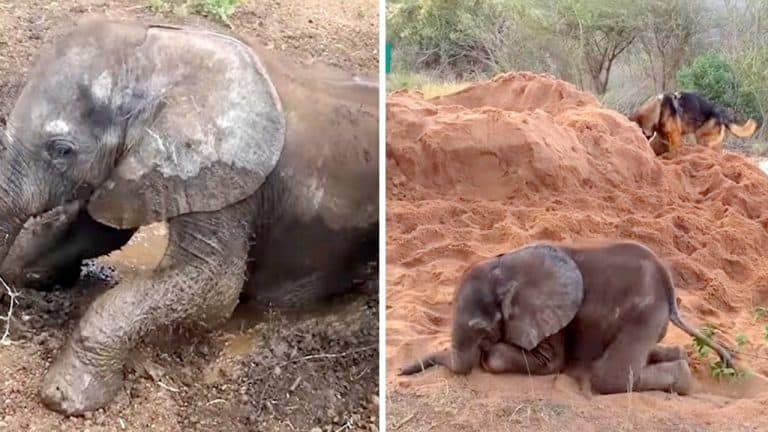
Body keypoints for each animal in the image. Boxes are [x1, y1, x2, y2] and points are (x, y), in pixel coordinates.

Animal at [0, 17, 378, 415]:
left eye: (62, 150)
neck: (160, 56)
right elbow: (98, 231)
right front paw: (31, 273)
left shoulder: (226, 178)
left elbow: (214, 288)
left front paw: (63, 397)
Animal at [399, 241, 733, 396]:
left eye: (481, 330)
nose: (402, 372)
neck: (505, 268)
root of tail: (670, 290)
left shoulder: (552, 320)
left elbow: (548, 362)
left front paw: (488, 354)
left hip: (644, 312)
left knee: (609, 377)